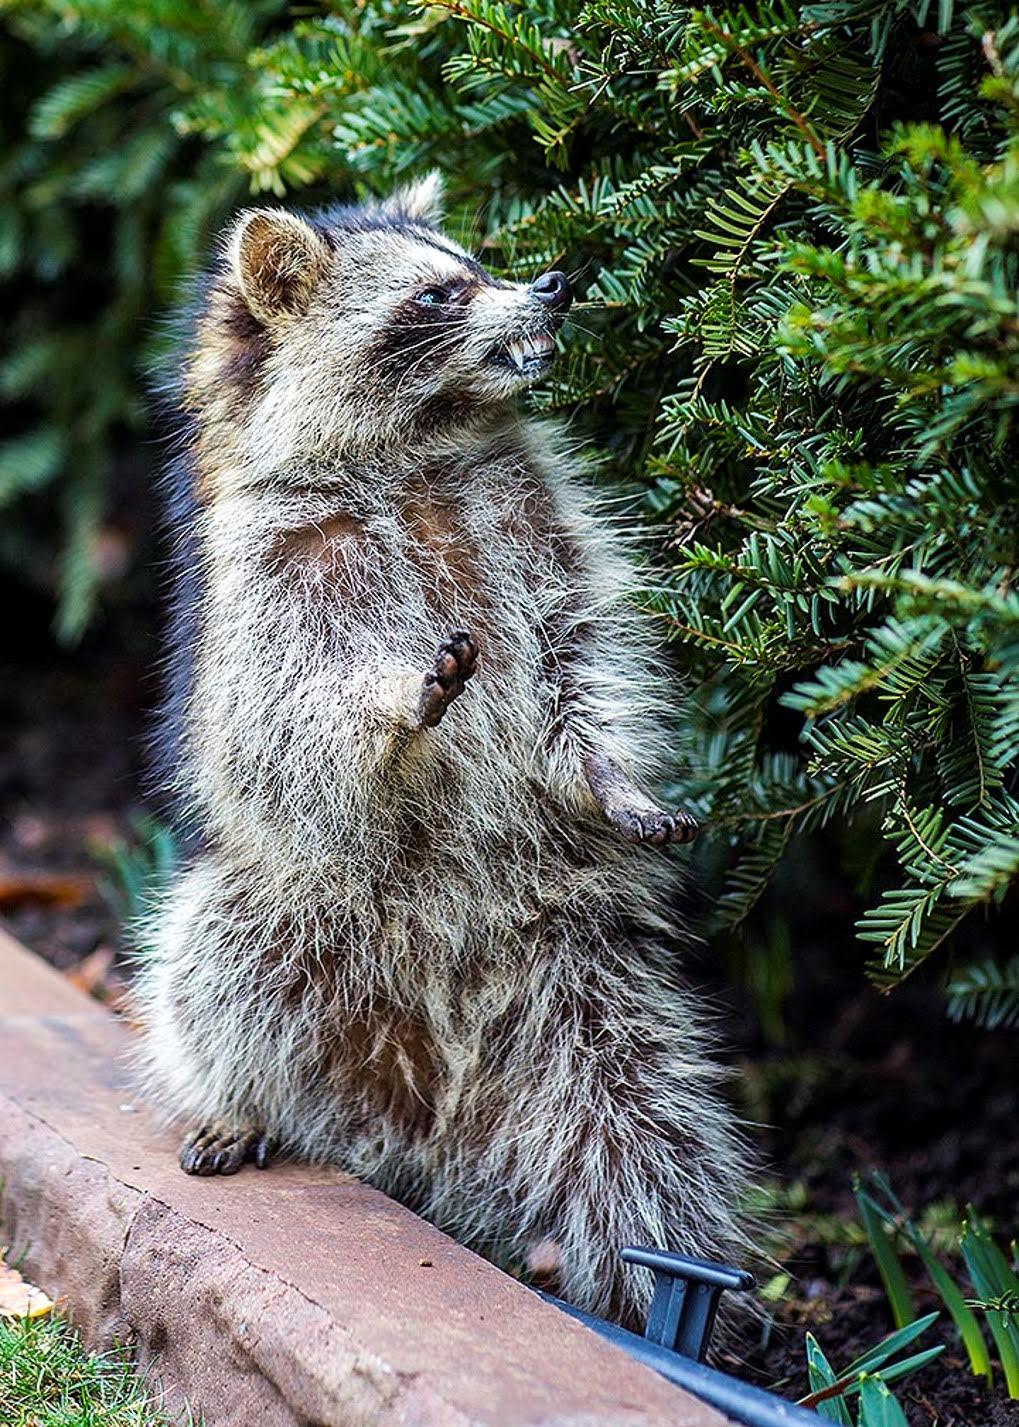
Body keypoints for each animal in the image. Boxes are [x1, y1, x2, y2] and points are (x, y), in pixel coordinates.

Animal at [139, 173, 753, 1329]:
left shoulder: (538, 521)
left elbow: (576, 661)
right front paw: (389, 712)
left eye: (482, 264)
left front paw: (607, 778)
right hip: (301, 904)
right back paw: (242, 1094)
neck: (412, 447)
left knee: (637, 1121)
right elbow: (280, 725)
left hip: (577, 966)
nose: (555, 281)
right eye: (435, 294)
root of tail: (425, 1086)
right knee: (213, 954)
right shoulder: (267, 577)